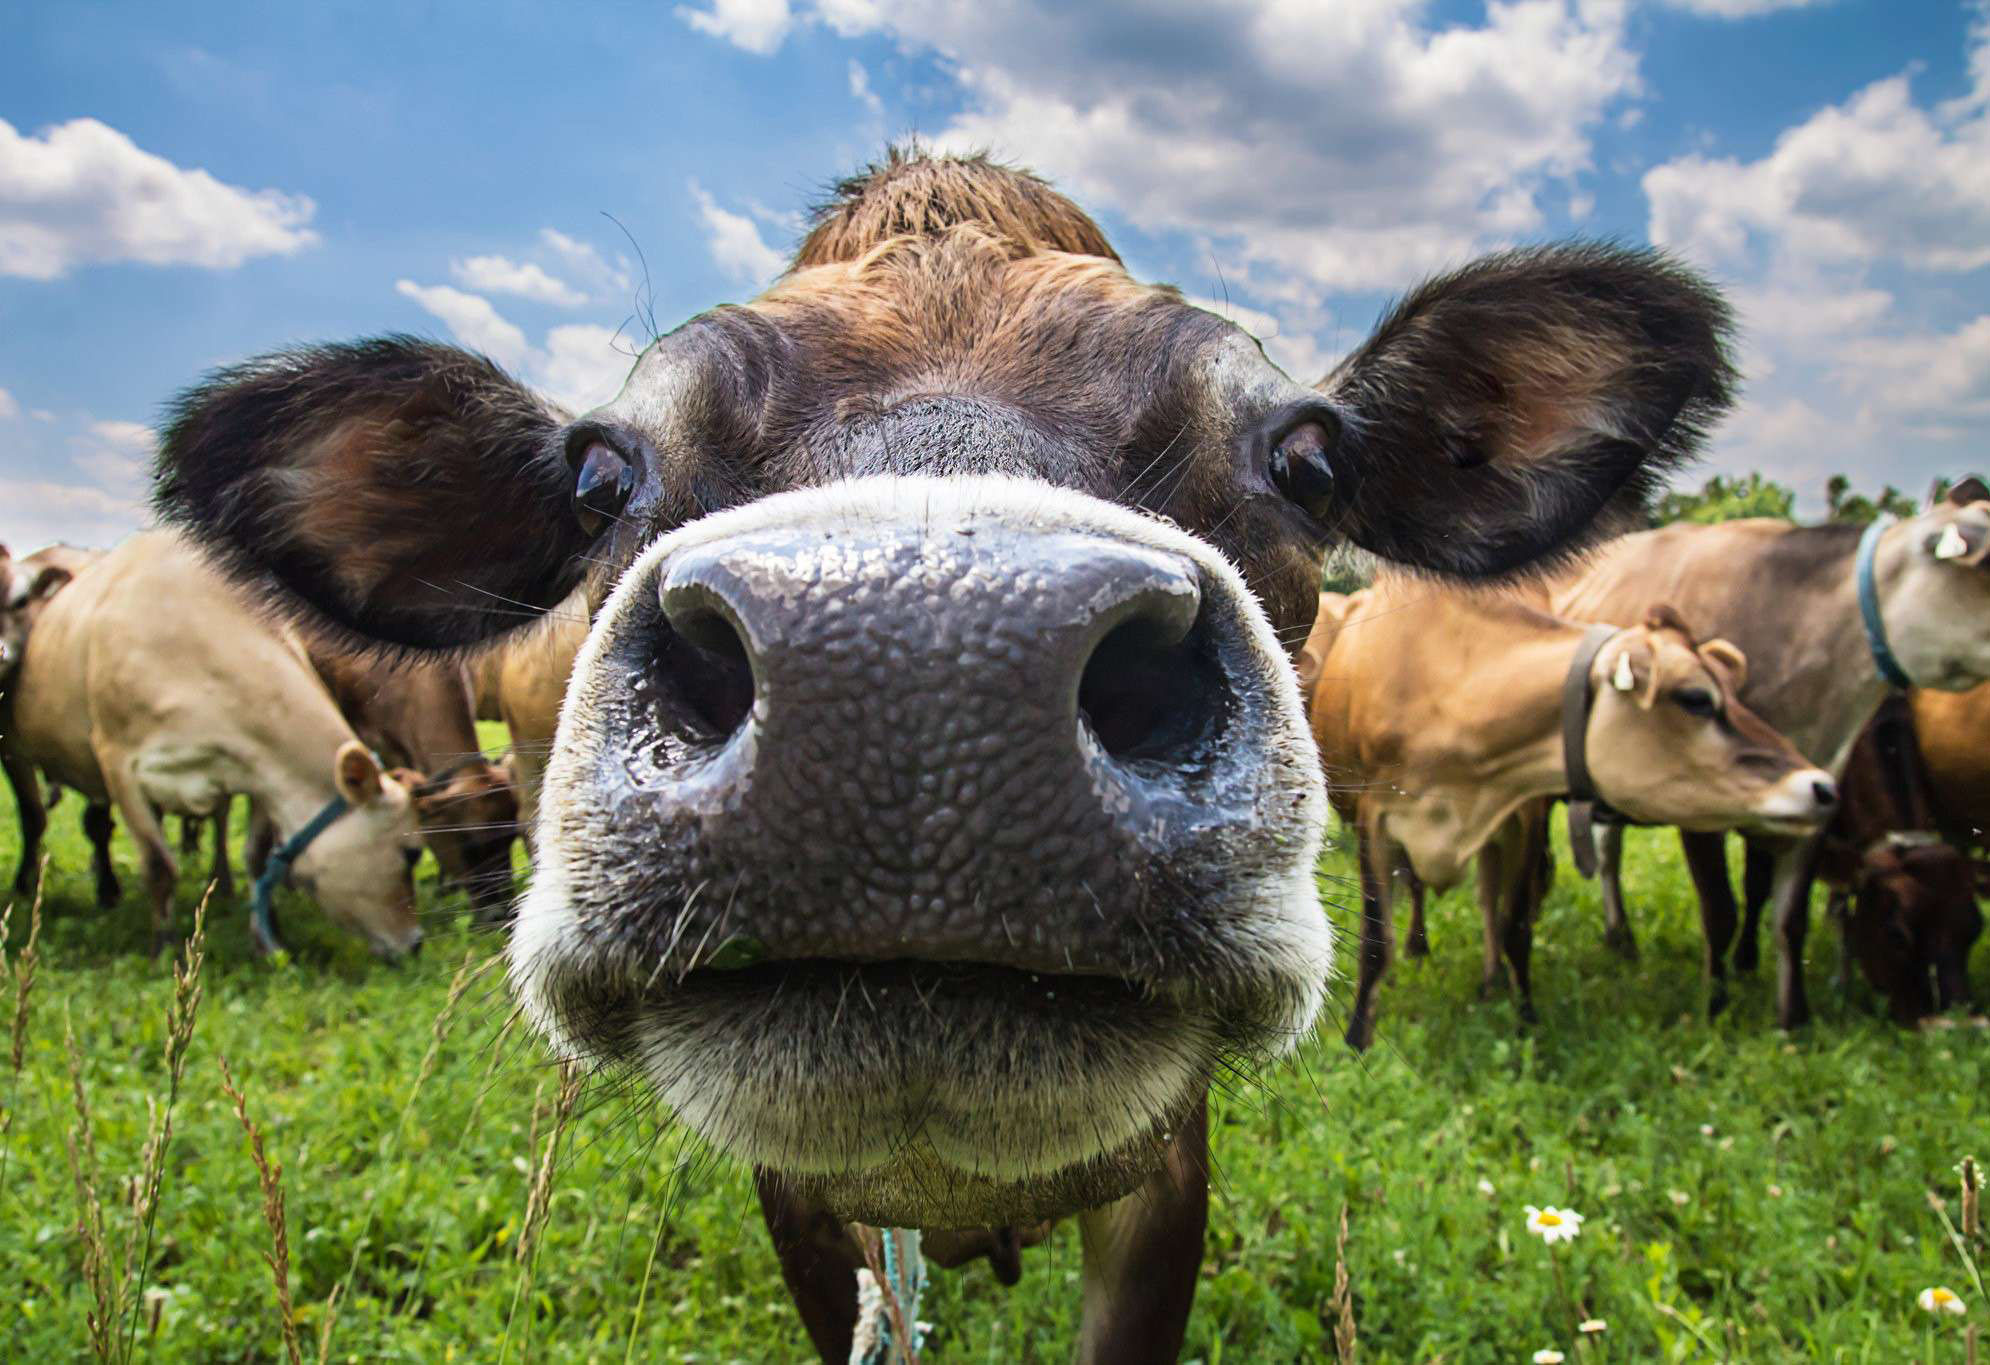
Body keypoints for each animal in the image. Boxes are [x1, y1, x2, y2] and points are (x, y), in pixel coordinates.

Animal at [6, 530, 424, 957]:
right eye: (411, 853)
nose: (416, 943)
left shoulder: (262, 774)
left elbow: (257, 857)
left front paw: (268, 940)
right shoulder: (118, 764)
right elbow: (158, 865)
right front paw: (163, 945)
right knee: (50, 820)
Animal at [1307, 580, 1835, 1049]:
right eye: (1695, 698)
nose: (1823, 786)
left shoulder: (1523, 816)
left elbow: (1515, 926)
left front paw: (1525, 1021)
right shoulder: (1373, 820)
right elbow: (1376, 937)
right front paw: (1358, 1038)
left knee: (1487, 897)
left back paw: (1491, 981)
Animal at [1551, 481, 1990, 1027]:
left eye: (1974, 927)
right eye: (1897, 932)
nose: (1952, 1025)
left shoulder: (1816, 805)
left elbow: (1786, 914)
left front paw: (1790, 1014)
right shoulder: (1698, 808)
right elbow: (1721, 910)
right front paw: (1715, 1005)